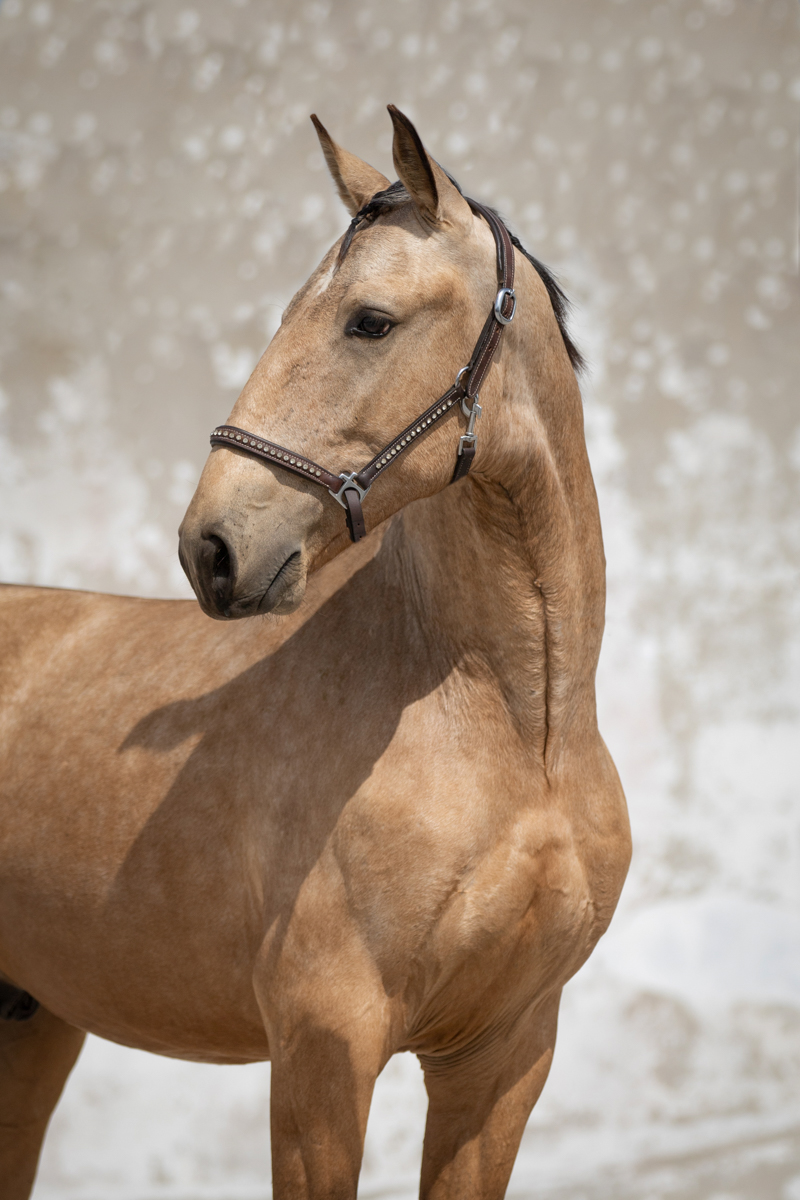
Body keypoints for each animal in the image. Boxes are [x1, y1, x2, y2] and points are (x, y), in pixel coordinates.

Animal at [0, 106, 630, 1200]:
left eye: (368, 321)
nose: (211, 550)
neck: (515, 731)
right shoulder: (323, 1054)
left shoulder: (503, 1056)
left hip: (31, 1026)